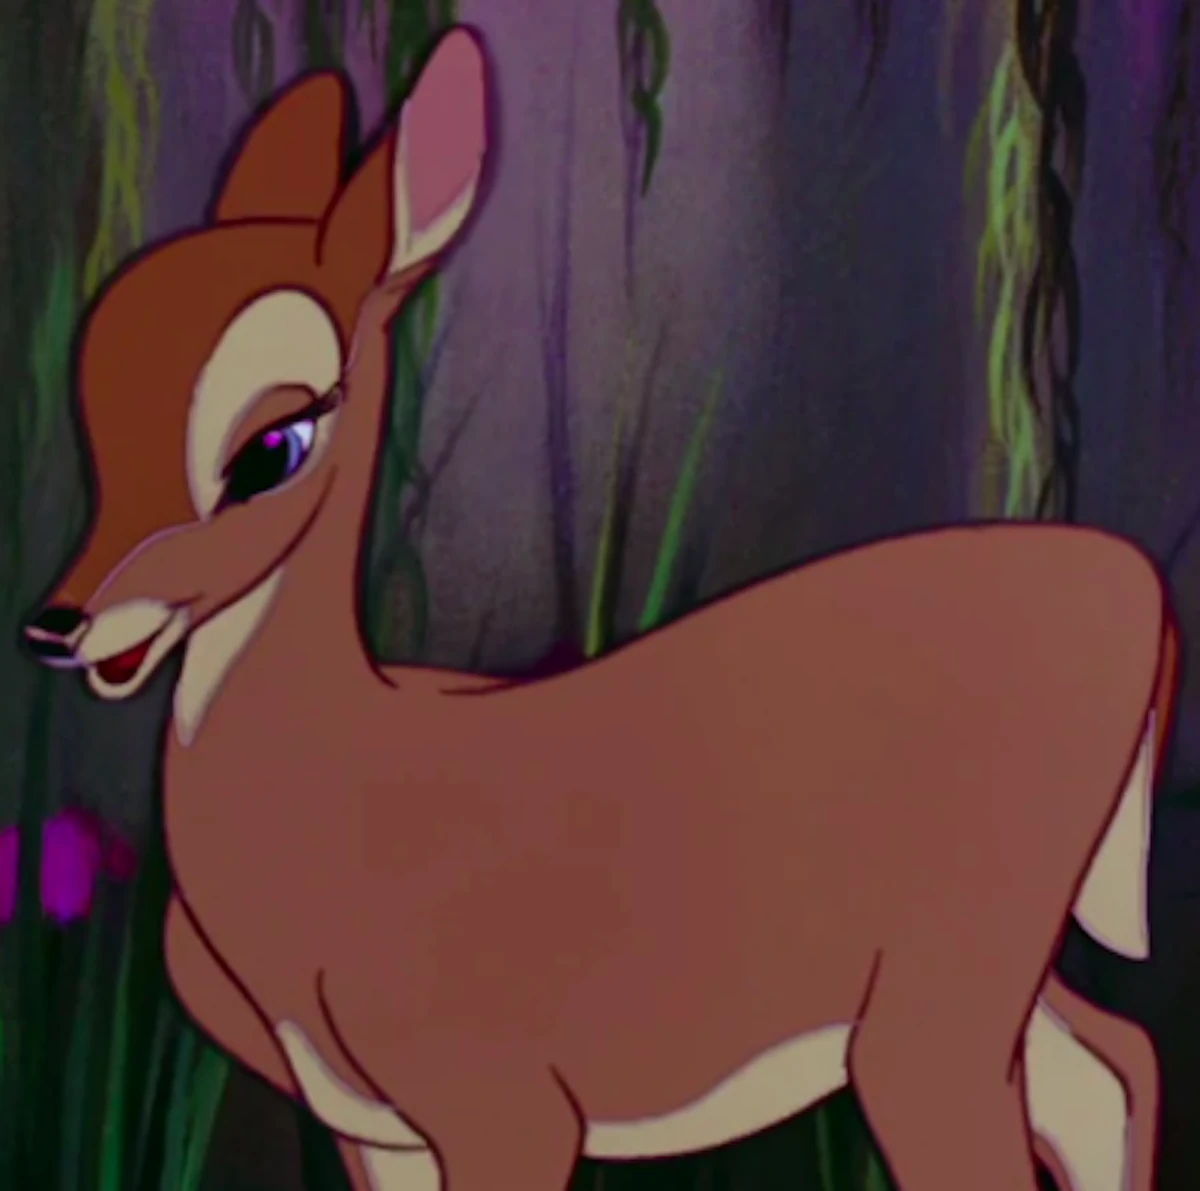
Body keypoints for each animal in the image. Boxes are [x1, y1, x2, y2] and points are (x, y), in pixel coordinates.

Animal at [20, 23, 1178, 1191]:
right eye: (89, 395)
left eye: (273, 445)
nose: (60, 624)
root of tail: (1139, 585)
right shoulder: (373, 1128)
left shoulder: (506, 1105)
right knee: (1110, 1067)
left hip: (938, 994)